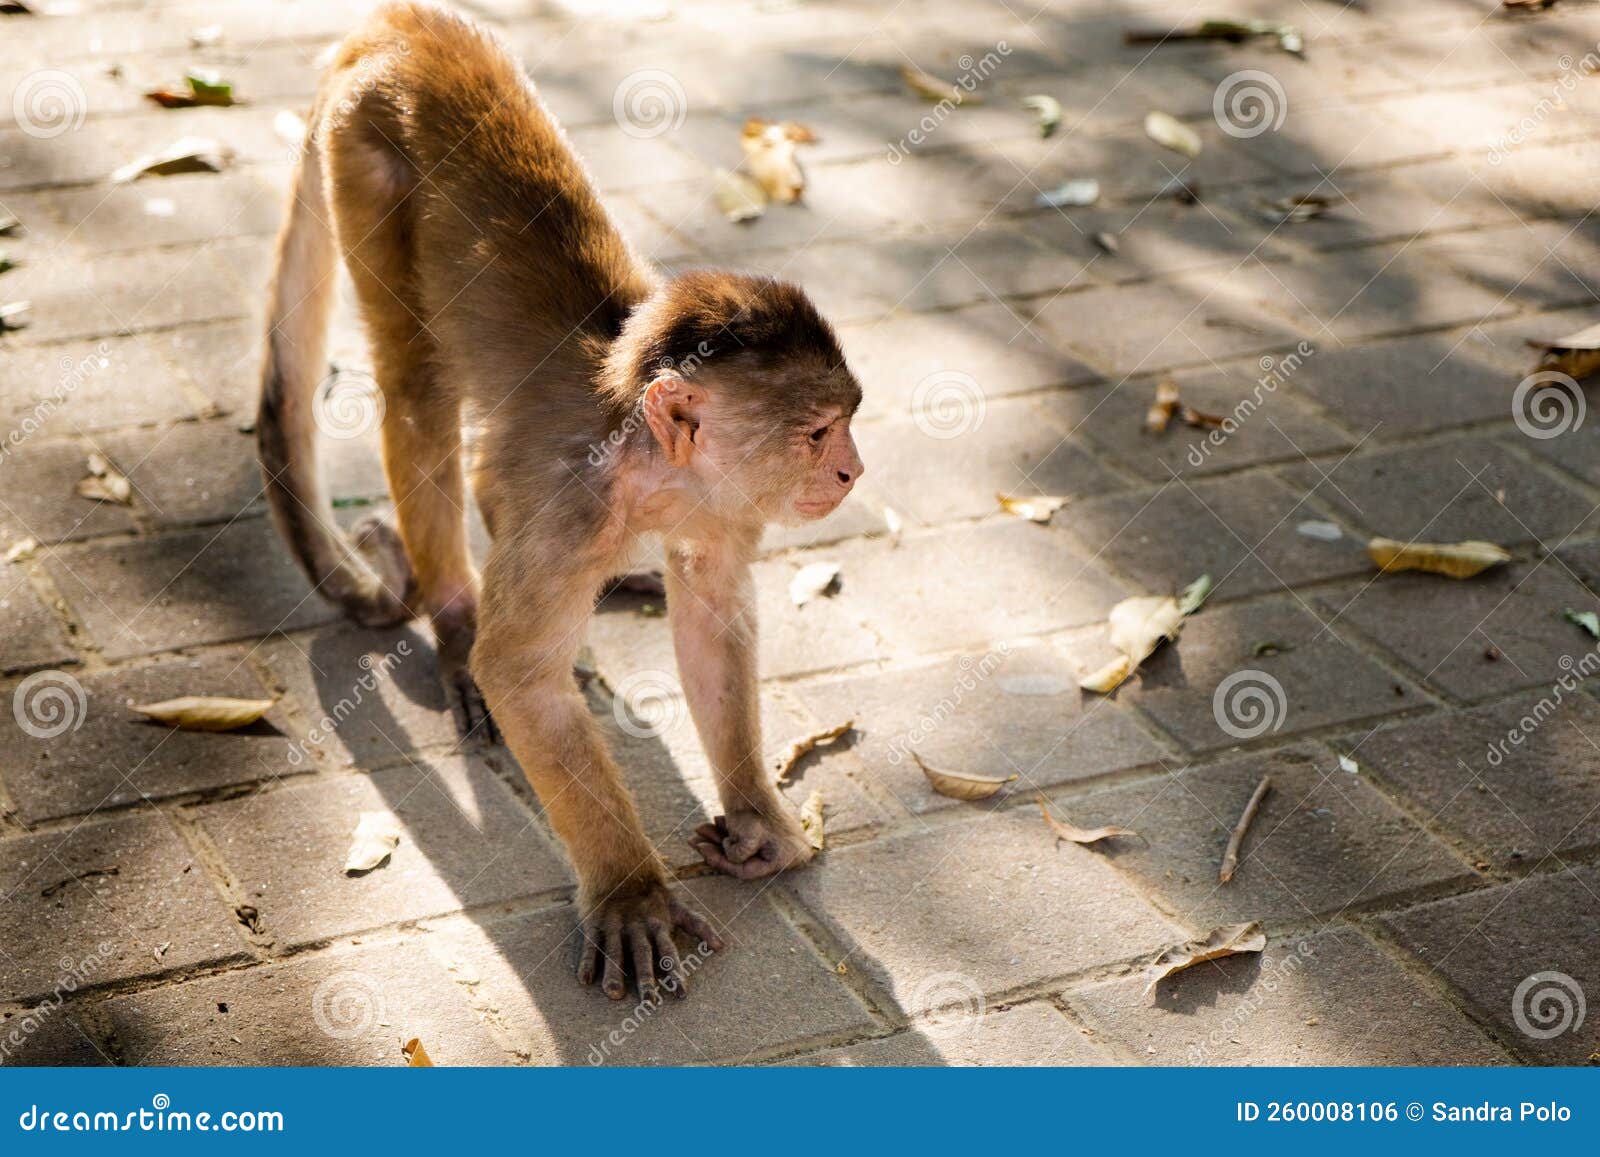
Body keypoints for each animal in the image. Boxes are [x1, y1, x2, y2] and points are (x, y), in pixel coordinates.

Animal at [256, 1, 865, 1003]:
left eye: (847, 423)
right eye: (820, 433)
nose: (854, 470)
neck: (648, 466)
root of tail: (396, 26)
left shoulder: (724, 506)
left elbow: (712, 623)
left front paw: (760, 824)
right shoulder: (569, 509)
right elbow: (519, 676)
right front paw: (629, 893)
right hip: (361, 142)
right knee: (419, 385)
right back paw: (455, 617)